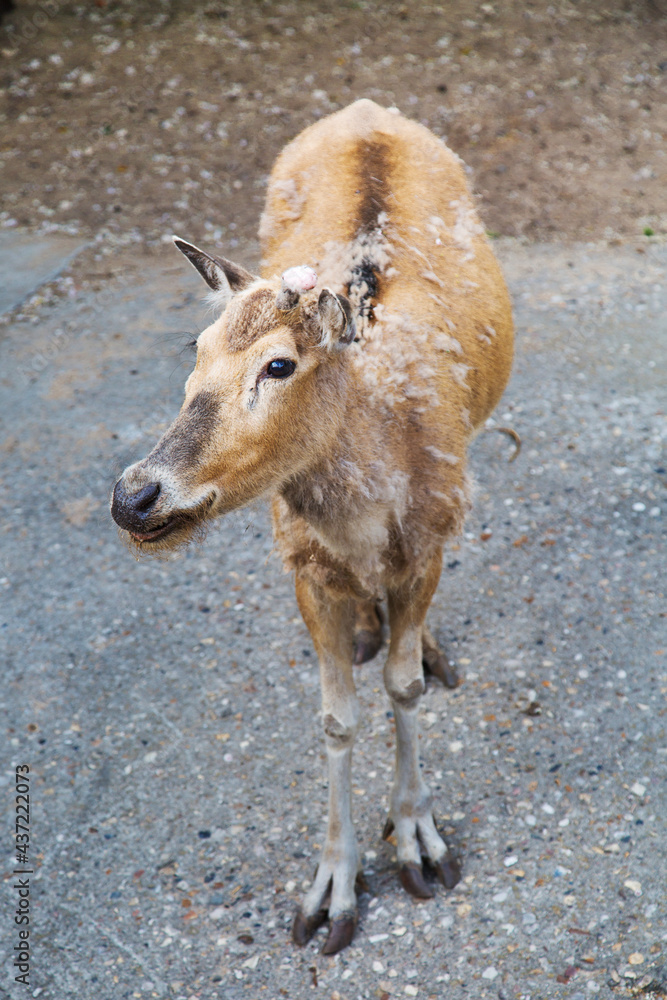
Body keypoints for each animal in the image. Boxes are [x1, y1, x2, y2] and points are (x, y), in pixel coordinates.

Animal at [110, 99, 514, 955]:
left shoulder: (427, 539)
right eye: (195, 348)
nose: (134, 496)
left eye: (278, 365)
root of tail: (367, 110)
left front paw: (419, 845)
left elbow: (401, 686)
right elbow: (335, 719)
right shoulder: (301, 563)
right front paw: (332, 890)